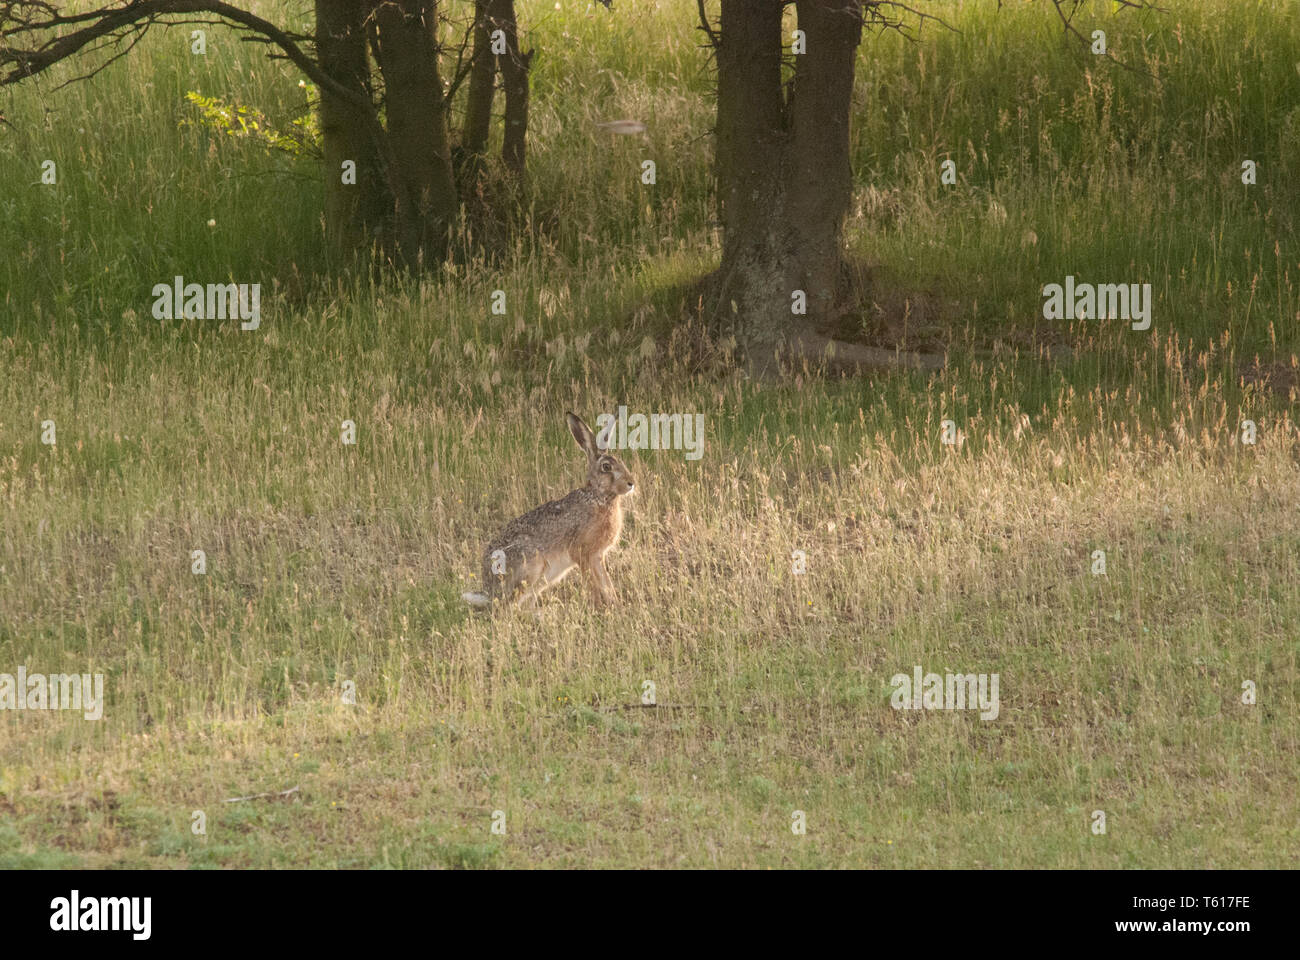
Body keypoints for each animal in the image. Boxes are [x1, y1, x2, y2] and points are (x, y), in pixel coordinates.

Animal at [462, 411, 636, 610]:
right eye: (606, 467)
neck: (600, 496)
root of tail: (490, 591)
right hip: (531, 566)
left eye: (621, 462)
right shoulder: (582, 552)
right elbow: (593, 583)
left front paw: (616, 604)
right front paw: (599, 607)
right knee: (508, 607)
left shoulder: (597, 556)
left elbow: (606, 582)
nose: (631, 483)